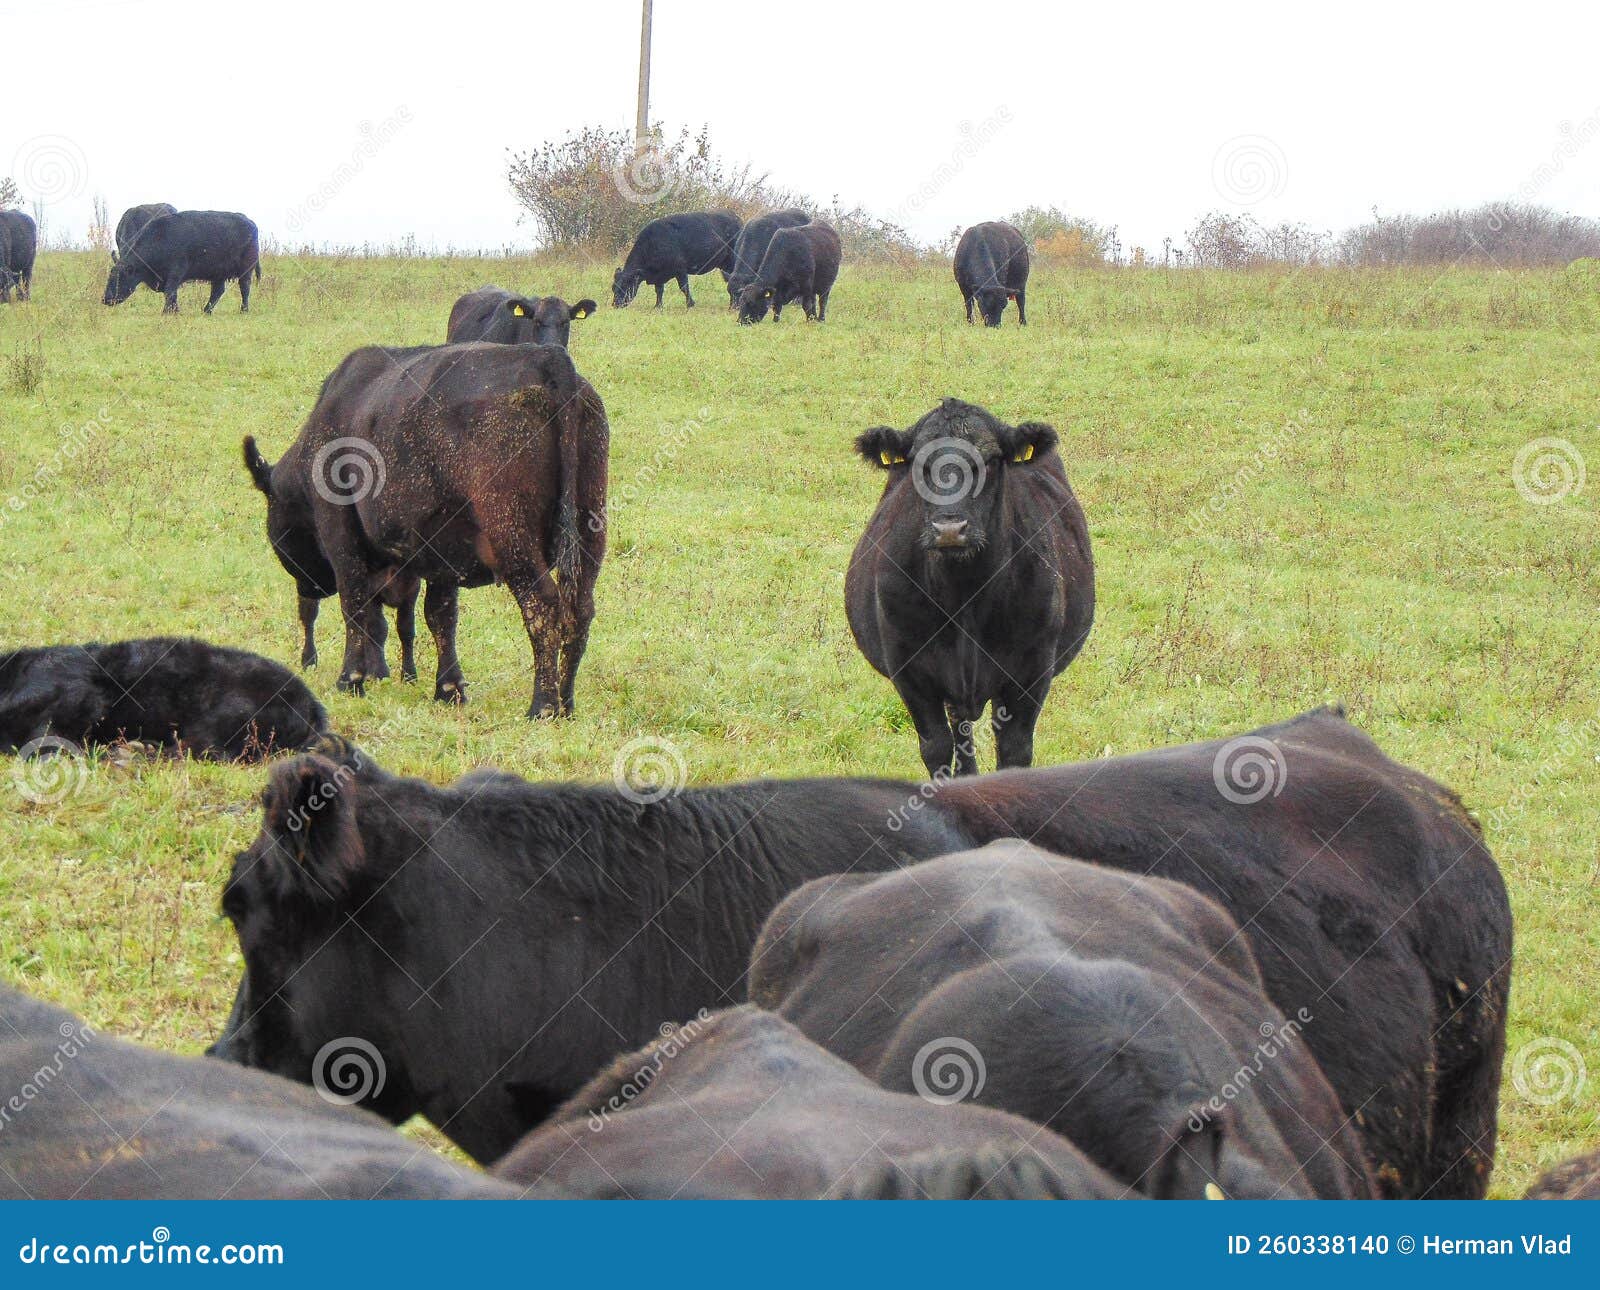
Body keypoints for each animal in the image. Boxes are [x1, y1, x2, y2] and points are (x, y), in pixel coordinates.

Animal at [102, 209, 260, 313]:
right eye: (110, 276)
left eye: (119, 278)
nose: (105, 299)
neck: (161, 238)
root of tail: (250, 222)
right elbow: (171, 294)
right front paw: (174, 310)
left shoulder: (175, 273)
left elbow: (170, 292)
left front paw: (167, 312)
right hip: (218, 274)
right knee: (217, 291)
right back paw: (206, 311)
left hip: (245, 271)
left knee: (245, 288)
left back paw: (244, 310)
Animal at [244, 431, 435, 684]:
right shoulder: (367, 586)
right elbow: (376, 628)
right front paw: (378, 672)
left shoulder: (410, 586)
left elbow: (405, 628)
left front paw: (409, 676)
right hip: (309, 582)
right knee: (309, 616)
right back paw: (309, 661)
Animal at [611, 209, 742, 308]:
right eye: (613, 288)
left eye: (624, 287)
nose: (615, 304)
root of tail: (735, 217)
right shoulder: (659, 275)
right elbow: (659, 290)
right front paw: (658, 306)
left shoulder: (680, 270)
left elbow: (684, 288)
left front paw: (690, 304)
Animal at [846, 398, 1094, 776]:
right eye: (919, 462)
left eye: (989, 460)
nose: (950, 529)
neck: (963, 595)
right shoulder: (909, 670)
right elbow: (936, 748)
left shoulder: (1033, 671)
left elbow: (1014, 751)